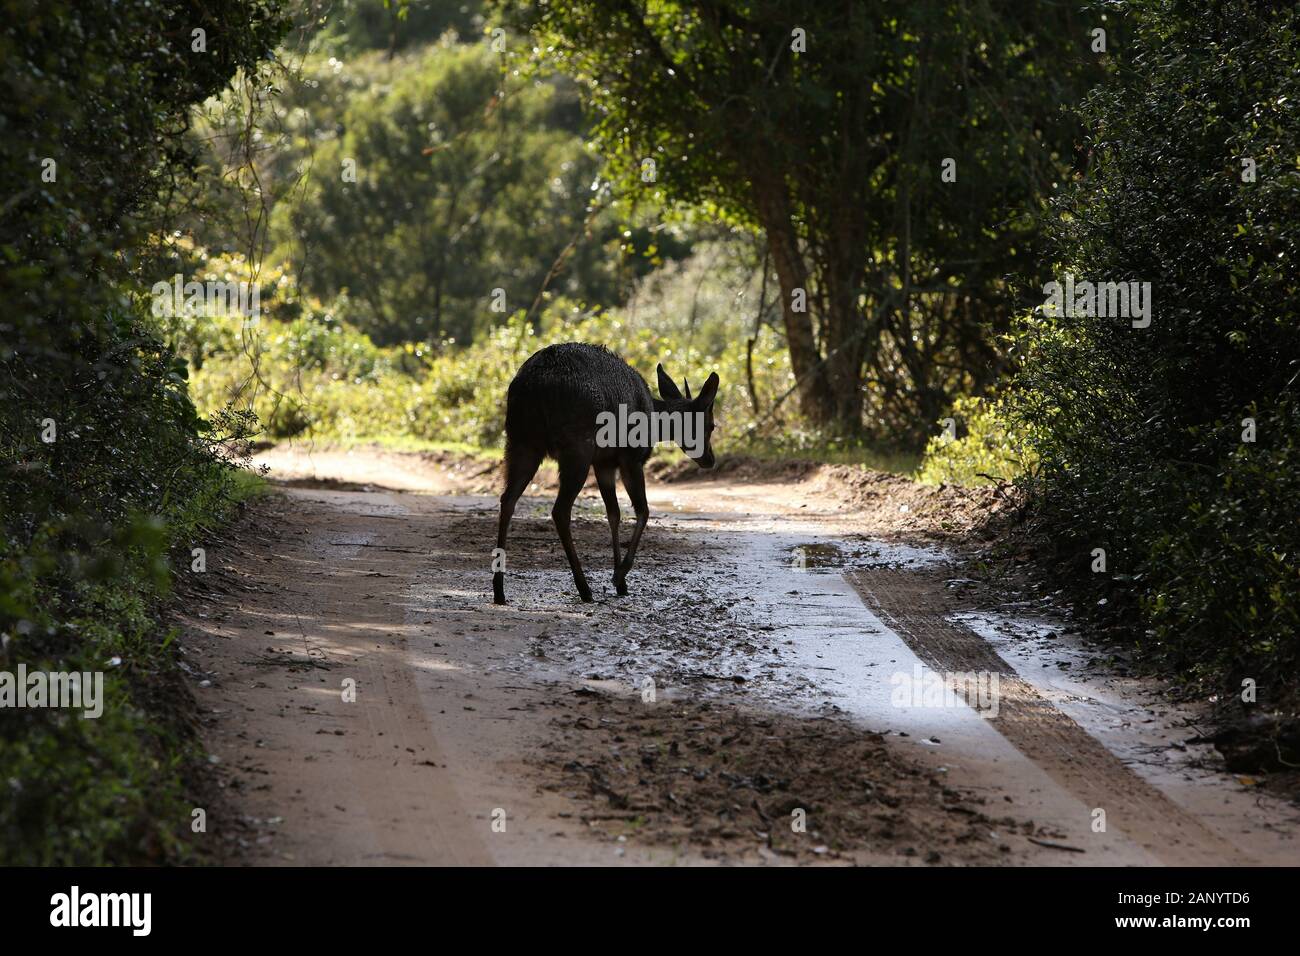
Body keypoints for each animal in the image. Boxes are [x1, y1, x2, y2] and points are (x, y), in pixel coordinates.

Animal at [491, 342, 719, 605]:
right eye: (711, 424)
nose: (710, 459)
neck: (654, 420)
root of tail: (532, 388)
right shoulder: (631, 458)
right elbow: (642, 510)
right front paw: (619, 574)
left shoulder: (604, 463)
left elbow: (614, 514)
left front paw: (621, 582)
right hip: (577, 447)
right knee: (560, 510)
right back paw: (584, 588)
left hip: (521, 441)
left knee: (508, 499)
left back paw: (499, 589)